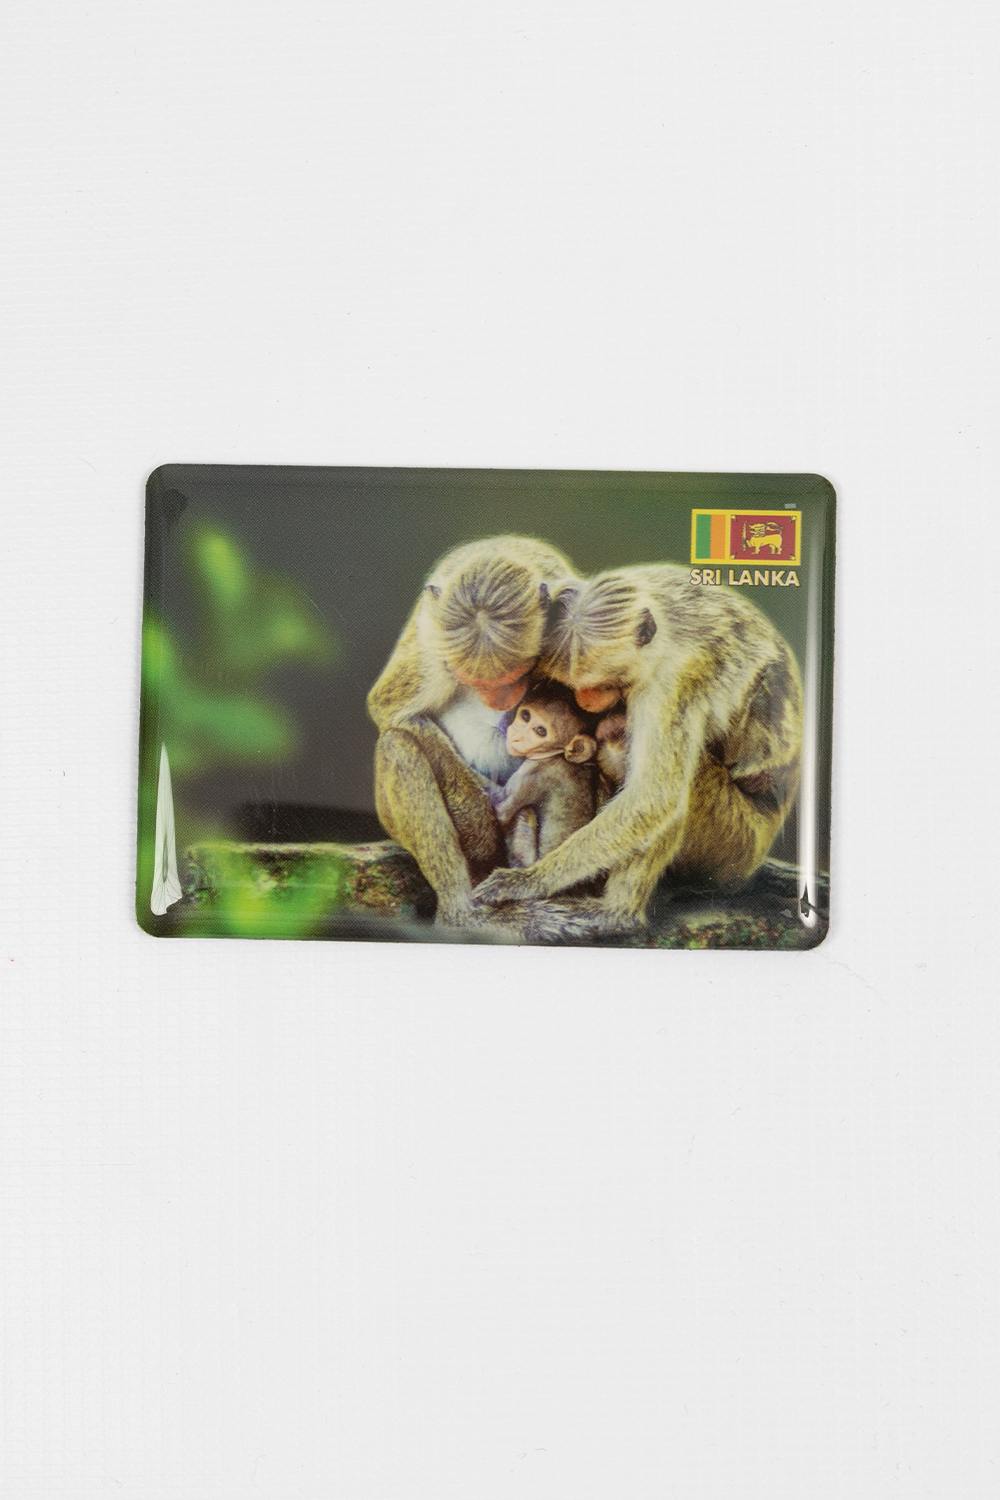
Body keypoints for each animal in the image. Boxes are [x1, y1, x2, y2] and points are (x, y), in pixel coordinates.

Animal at [491, 683, 599, 867]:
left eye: (540, 731)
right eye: (525, 716)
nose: (516, 737)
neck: (554, 755)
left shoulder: (531, 774)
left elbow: (501, 812)